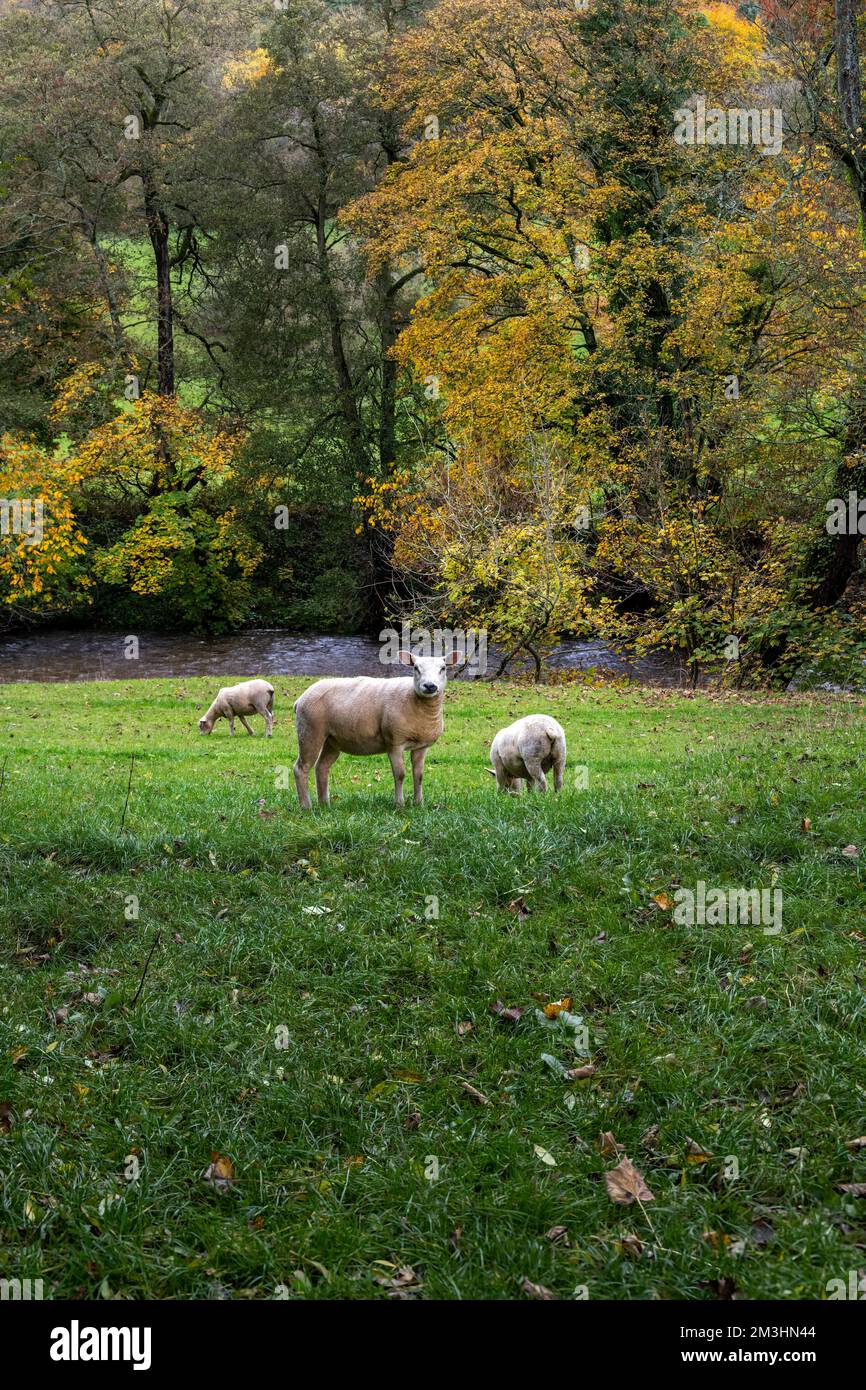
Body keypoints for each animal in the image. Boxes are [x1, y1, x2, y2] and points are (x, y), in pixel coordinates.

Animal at [292, 651, 459, 808]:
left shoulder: (422, 746)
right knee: (301, 768)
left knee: (321, 767)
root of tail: (300, 698)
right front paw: (399, 805)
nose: (430, 686)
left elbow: (419, 776)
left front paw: (419, 804)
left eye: (443, 668)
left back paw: (324, 804)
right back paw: (306, 806)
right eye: (416, 668)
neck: (415, 700)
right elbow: (400, 775)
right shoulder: (394, 742)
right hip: (310, 731)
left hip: (332, 740)